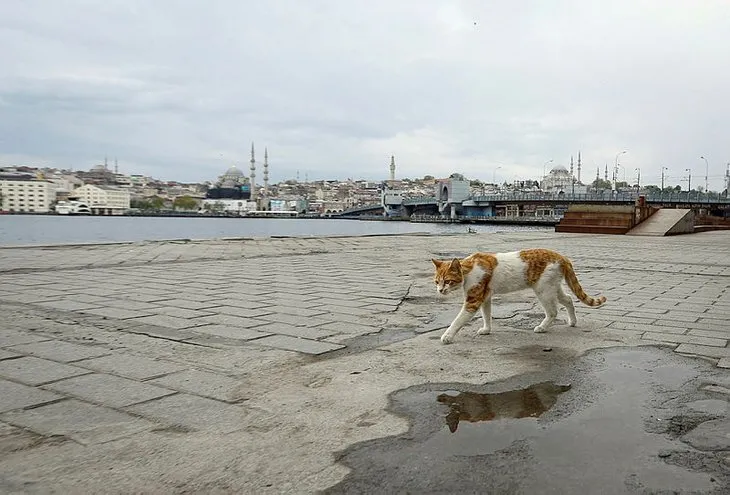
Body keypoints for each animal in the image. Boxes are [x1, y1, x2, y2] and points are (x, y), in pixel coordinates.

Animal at [430, 248, 604, 344]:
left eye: (448, 281)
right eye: (436, 282)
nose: (440, 290)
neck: (469, 269)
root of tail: (562, 257)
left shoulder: (474, 300)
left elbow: (457, 321)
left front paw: (447, 336)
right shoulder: (485, 297)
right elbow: (487, 315)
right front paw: (487, 329)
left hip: (543, 290)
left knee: (553, 311)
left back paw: (542, 327)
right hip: (553, 287)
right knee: (568, 299)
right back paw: (572, 321)